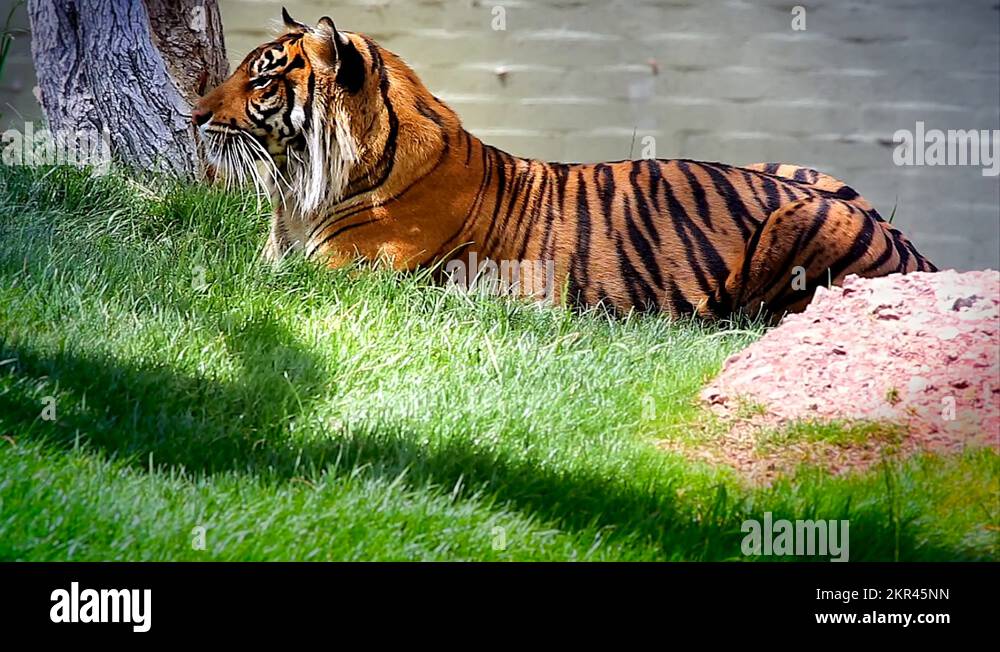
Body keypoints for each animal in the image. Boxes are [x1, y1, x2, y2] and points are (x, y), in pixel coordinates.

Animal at [191, 9, 936, 319]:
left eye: (261, 78)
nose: (193, 116)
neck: (301, 192)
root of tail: (915, 252)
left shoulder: (341, 274)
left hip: (796, 221)